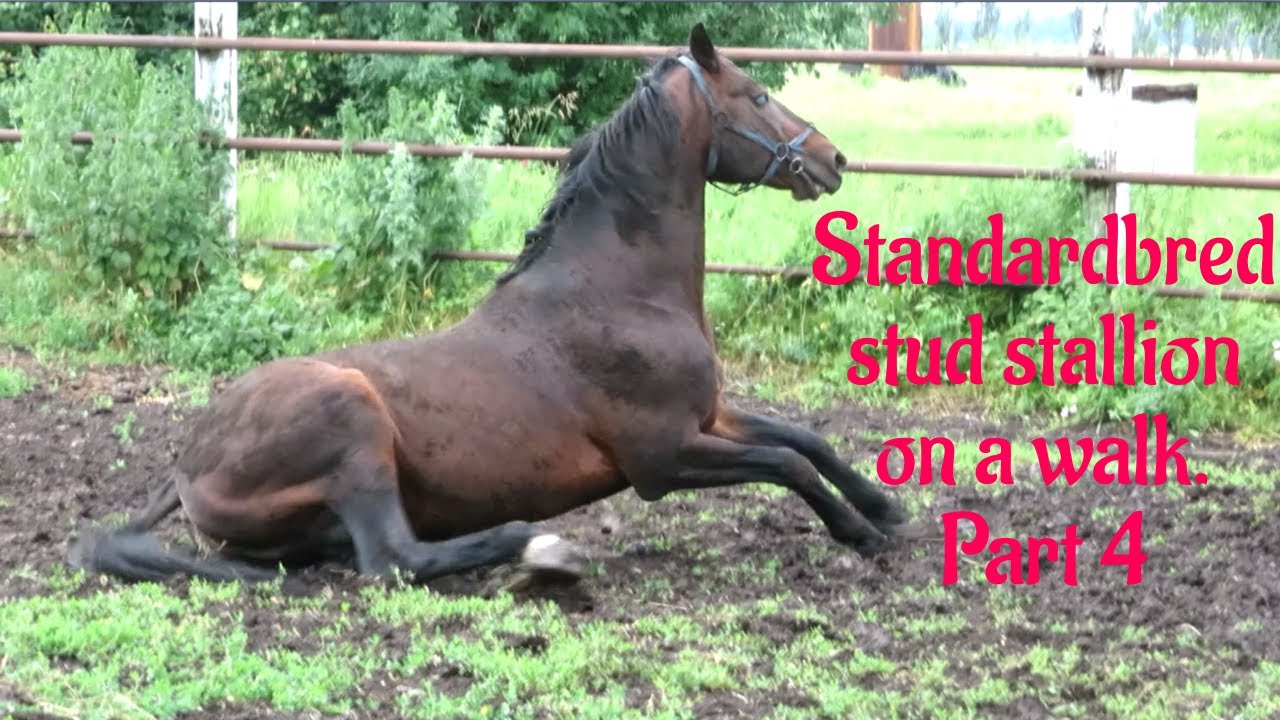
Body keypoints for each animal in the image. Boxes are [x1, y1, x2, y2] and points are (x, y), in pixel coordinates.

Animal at [68, 23, 912, 587]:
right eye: (759, 95)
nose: (833, 159)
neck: (620, 292)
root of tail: (186, 465)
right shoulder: (663, 456)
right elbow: (786, 463)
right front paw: (861, 534)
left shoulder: (711, 418)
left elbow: (807, 440)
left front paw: (889, 508)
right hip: (353, 428)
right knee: (392, 559)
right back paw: (537, 549)